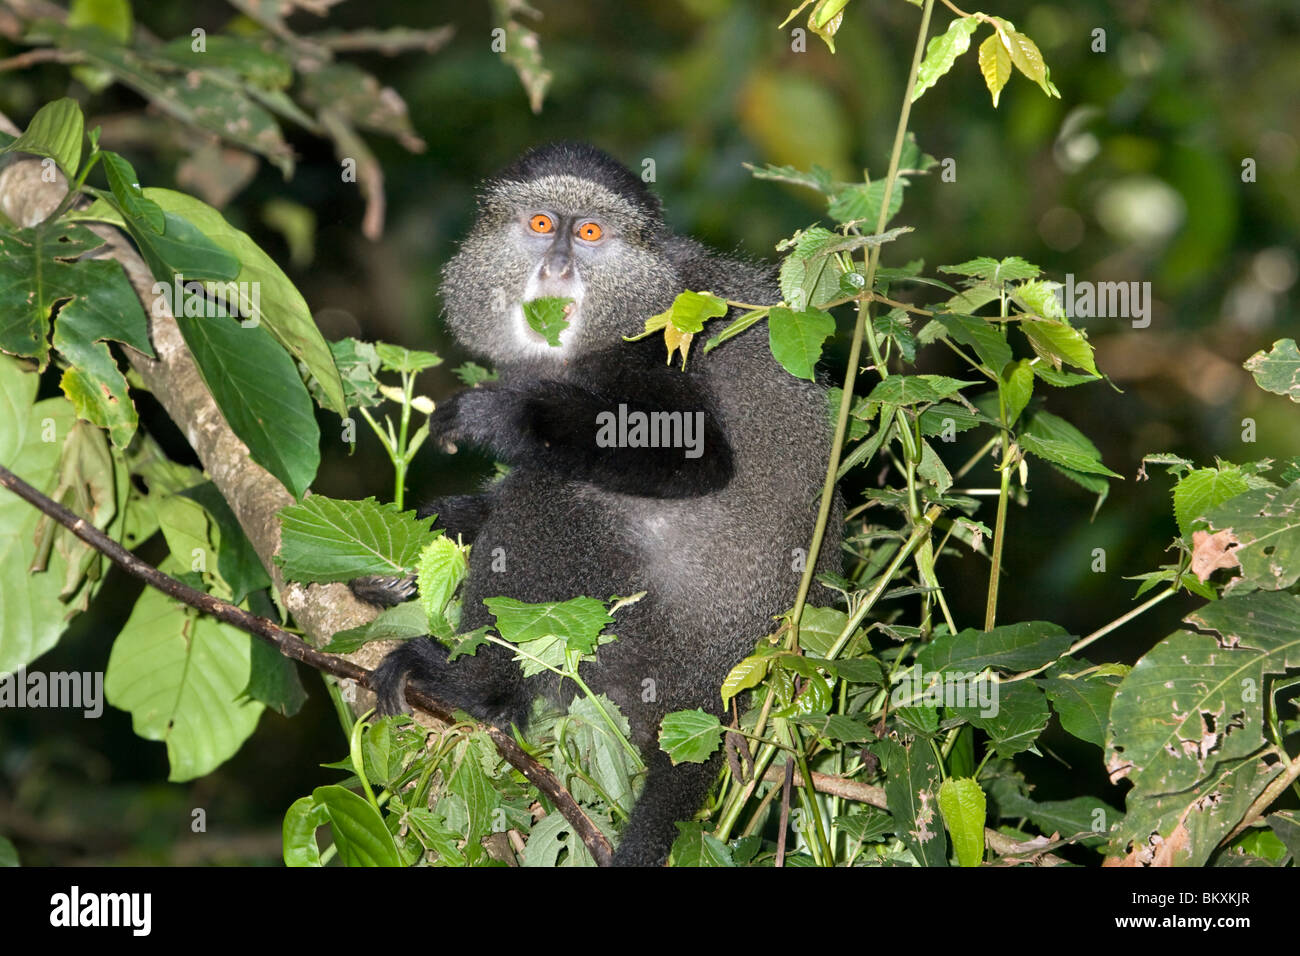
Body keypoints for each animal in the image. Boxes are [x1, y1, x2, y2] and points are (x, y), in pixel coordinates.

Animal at [360, 142, 842, 866]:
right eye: (540, 224)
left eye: (589, 232)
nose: (557, 266)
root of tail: (710, 683)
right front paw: (426, 540)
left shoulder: (655, 346)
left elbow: (694, 459)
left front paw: (500, 419)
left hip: (632, 629)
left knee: (554, 498)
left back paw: (475, 689)